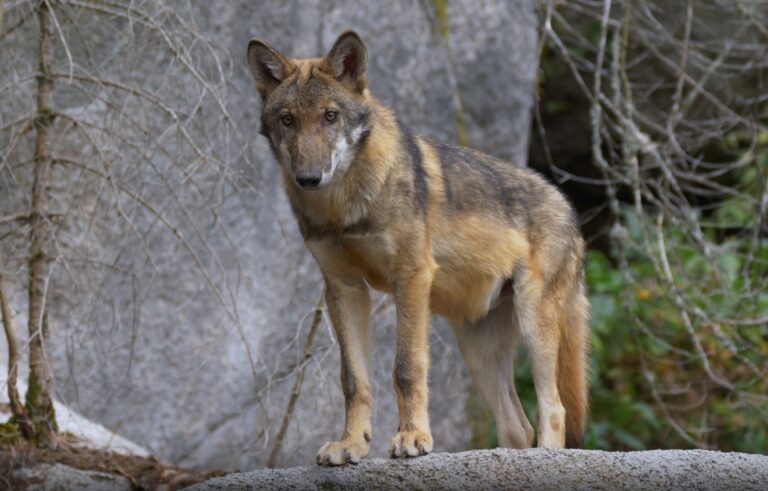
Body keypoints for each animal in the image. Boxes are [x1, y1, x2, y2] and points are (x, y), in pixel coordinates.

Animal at [247, 31, 589, 466]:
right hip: (478, 350)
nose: (309, 177)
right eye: (288, 120)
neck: (343, 207)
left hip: (534, 324)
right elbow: (353, 379)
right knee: (518, 426)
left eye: (330, 116)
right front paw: (351, 444)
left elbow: (406, 367)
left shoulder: (410, 276)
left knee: (553, 409)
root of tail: (568, 207)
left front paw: (412, 438)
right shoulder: (342, 288)